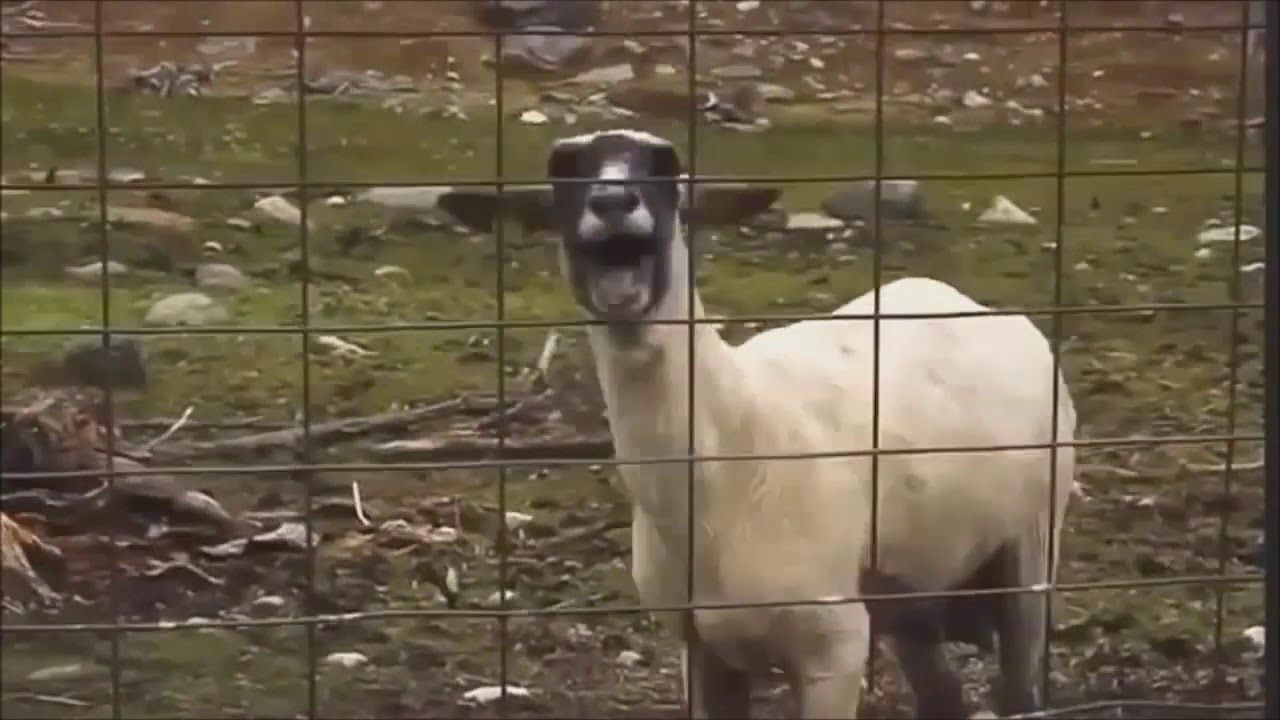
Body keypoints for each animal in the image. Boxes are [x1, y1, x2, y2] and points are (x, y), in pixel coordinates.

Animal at [441, 129, 1078, 719]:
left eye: (666, 167)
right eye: (564, 171)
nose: (613, 200)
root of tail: (963, 298)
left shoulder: (834, 646)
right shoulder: (702, 648)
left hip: (1032, 546)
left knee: (1021, 683)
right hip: (912, 586)